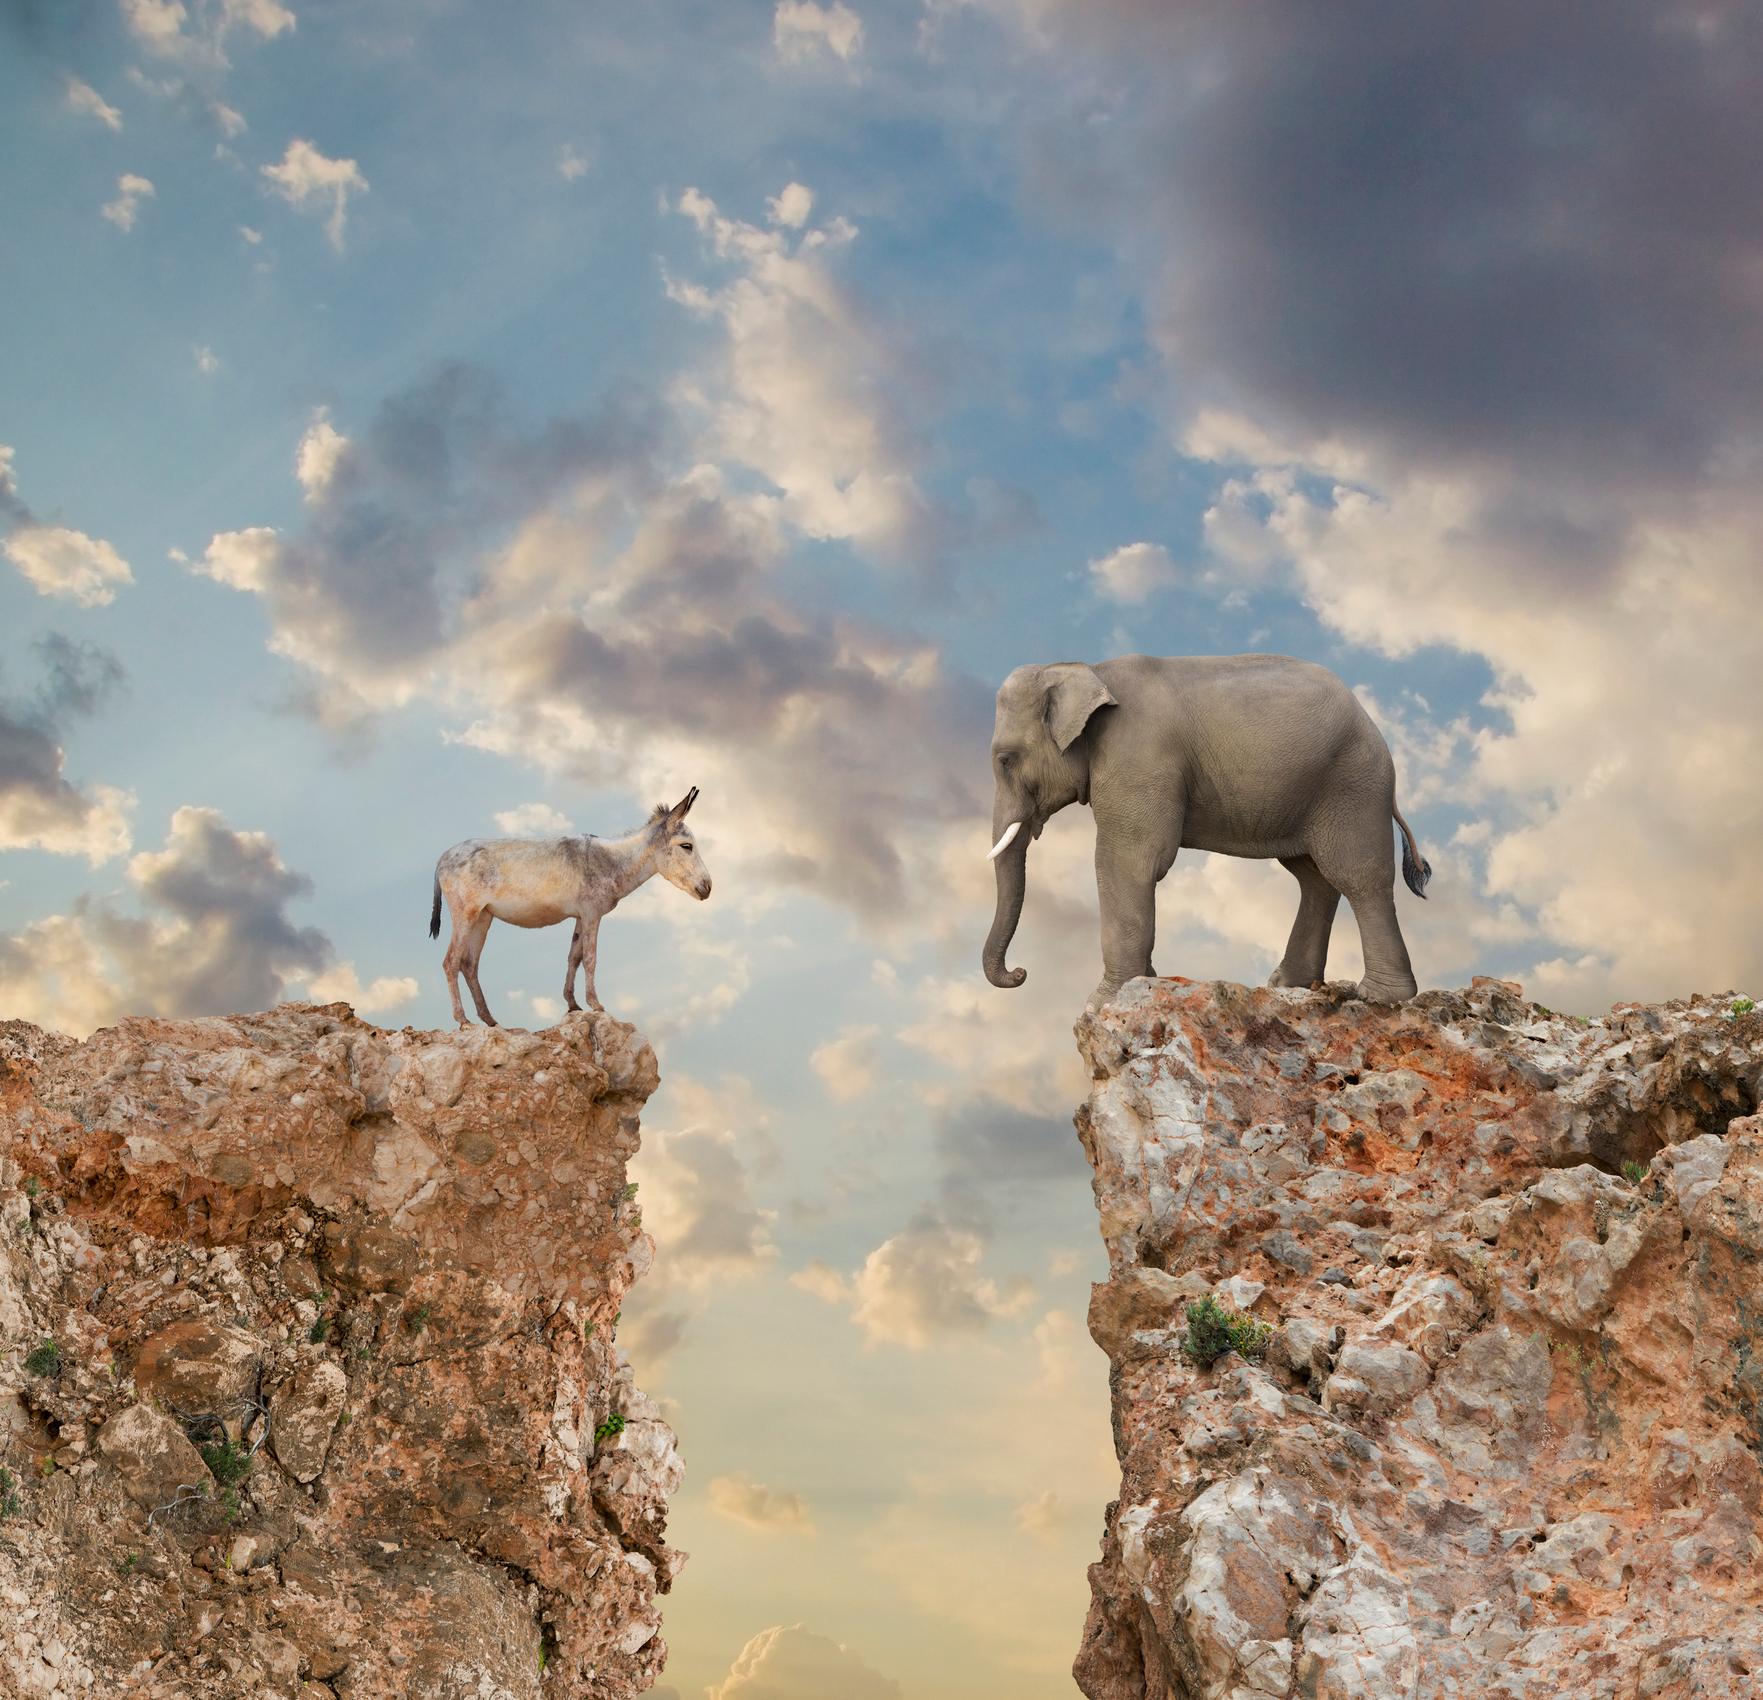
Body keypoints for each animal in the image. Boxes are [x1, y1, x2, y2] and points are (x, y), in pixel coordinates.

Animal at [982, 653, 1431, 1008]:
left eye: (1005, 760)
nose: (1020, 973)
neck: (1090, 669)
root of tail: (1371, 723)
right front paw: (1145, 982)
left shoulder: (1139, 761)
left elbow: (1130, 862)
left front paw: (1104, 1003)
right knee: (1314, 877)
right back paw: (1290, 986)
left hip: (1352, 785)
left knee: (1357, 877)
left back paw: (1379, 996)